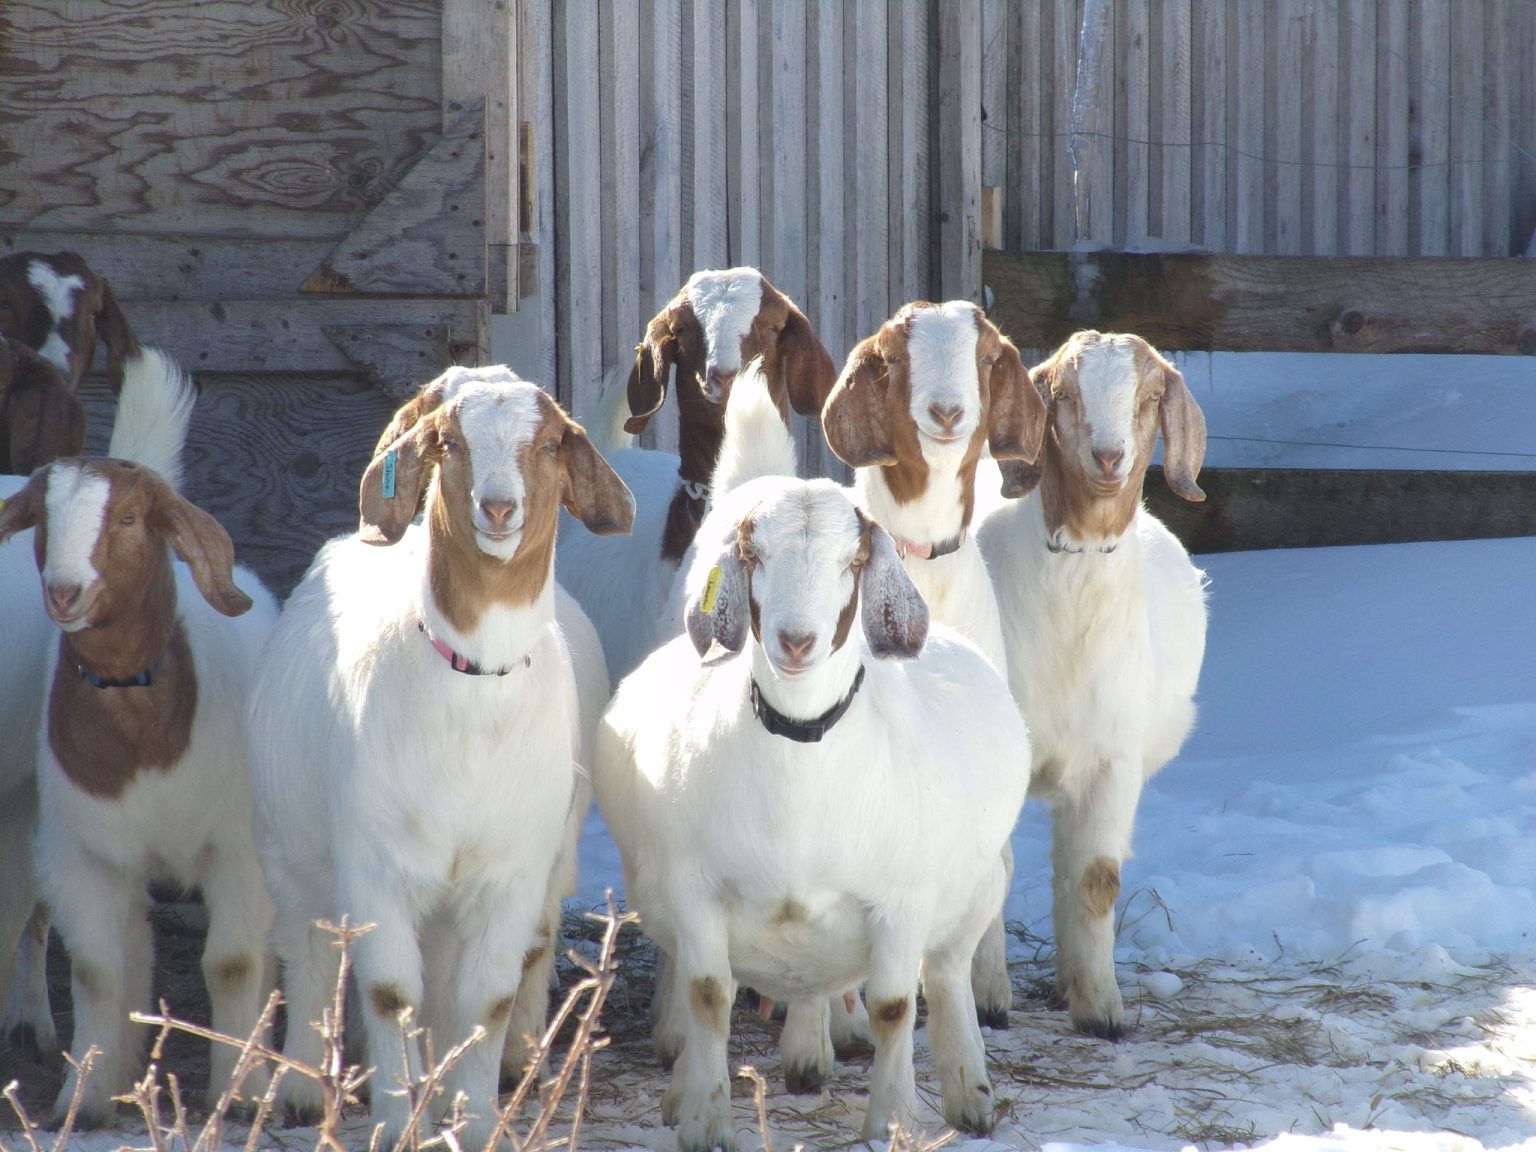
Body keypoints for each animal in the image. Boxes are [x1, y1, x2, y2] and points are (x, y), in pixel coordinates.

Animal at [0, 351, 278, 1126]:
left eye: (127, 517)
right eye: (40, 521)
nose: (65, 592)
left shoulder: (237, 848)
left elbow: (233, 963)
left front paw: (237, 1093)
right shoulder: (84, 848)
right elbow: (98, 968)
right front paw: (84, 1097)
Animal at [248, 366, 635, 1147]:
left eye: (551, 442)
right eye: (447, 441)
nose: (498, 506)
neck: (472, 687)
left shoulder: (509, 872)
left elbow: (486, 999)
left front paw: (475, 1117)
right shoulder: (378, 865)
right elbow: (389, 993)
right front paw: (398, 1120)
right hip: (292, 852)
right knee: (307, 950)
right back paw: (303, 1088)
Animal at [595, 475, 1031, 1149]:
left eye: (851, 561)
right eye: (754, 556)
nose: (796, 641)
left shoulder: (902, 901)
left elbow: (894, 1008)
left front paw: (893, 1120)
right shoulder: (694, 890)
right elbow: (708, 996)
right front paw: (703, 1117)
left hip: (980, 888)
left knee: (947, 975)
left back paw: (969, 1092)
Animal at [975, 329, 1209, 1039]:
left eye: (1152, 396)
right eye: (1063, 394)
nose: (1109, 456)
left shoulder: (1112, 762)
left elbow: (1095, 879)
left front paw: (1102, 1008)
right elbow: (990, 870)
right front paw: (987, 999)